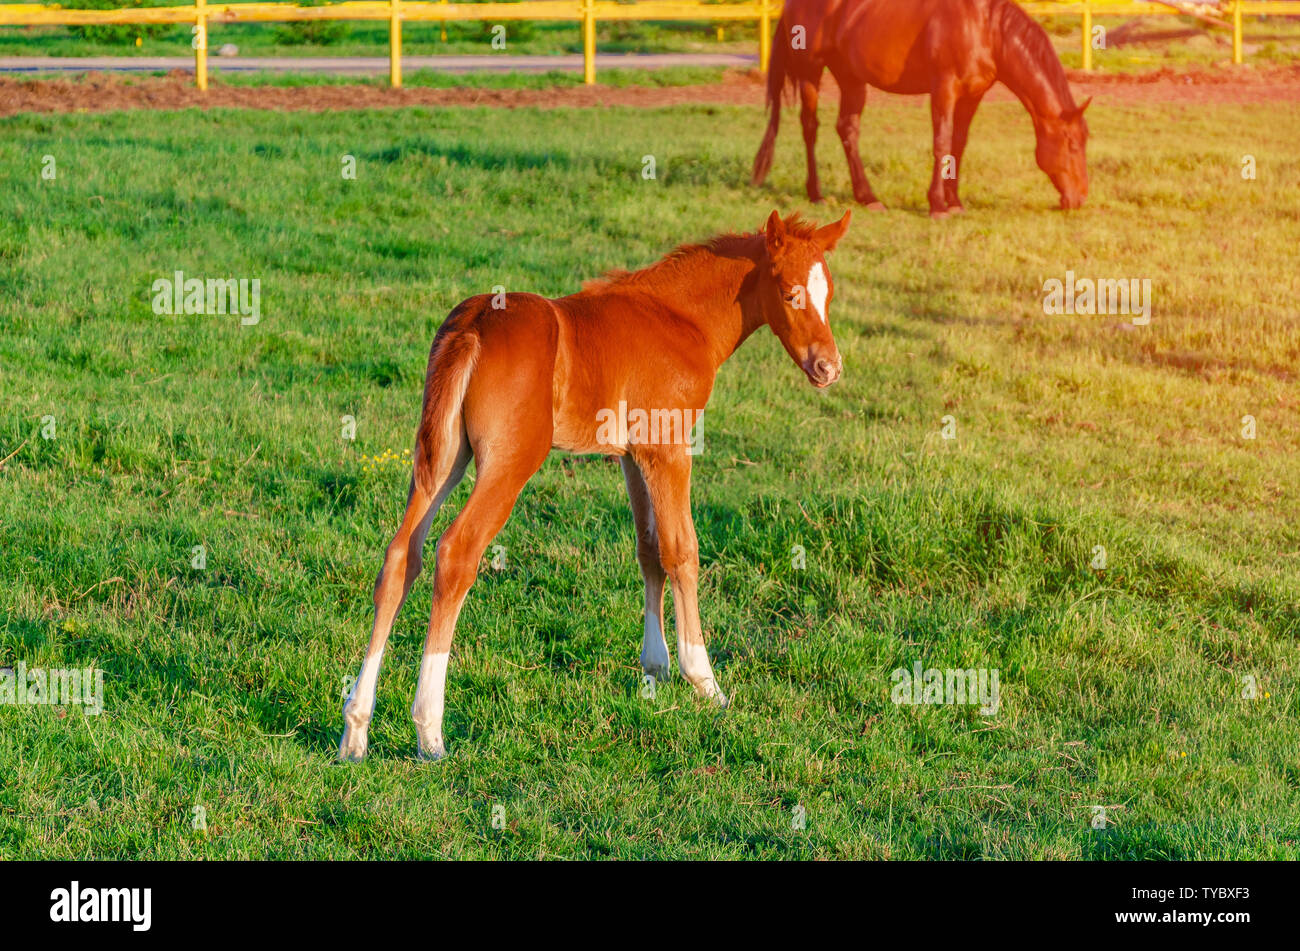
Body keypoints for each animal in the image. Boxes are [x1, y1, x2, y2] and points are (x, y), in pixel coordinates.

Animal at [339, 210, 852, 761]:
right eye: (791, 293)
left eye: (829, 292)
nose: (828, 368)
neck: (681, 319)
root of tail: (474, 323)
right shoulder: (670, 448)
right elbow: (682, 551)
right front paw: (704, 681)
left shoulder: (633, 456)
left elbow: (649, 549)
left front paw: (655, 668)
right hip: (508, 464)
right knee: (456, 554)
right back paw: (429, 729)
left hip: (443, 457)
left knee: (401, 556)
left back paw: (356, 728)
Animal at [751, 0, 1091, 217]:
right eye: (1072, 144)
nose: (1080, 199)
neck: (986, 29)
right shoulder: (944, 89)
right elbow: (941, 143)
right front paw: (938, 205)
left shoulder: (972, 96)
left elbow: (958, 146)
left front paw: (955, 202)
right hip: (810, 71)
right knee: (810, 127)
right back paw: (817, 194)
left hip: (851, 79)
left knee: (847, 129)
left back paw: (868, 198)